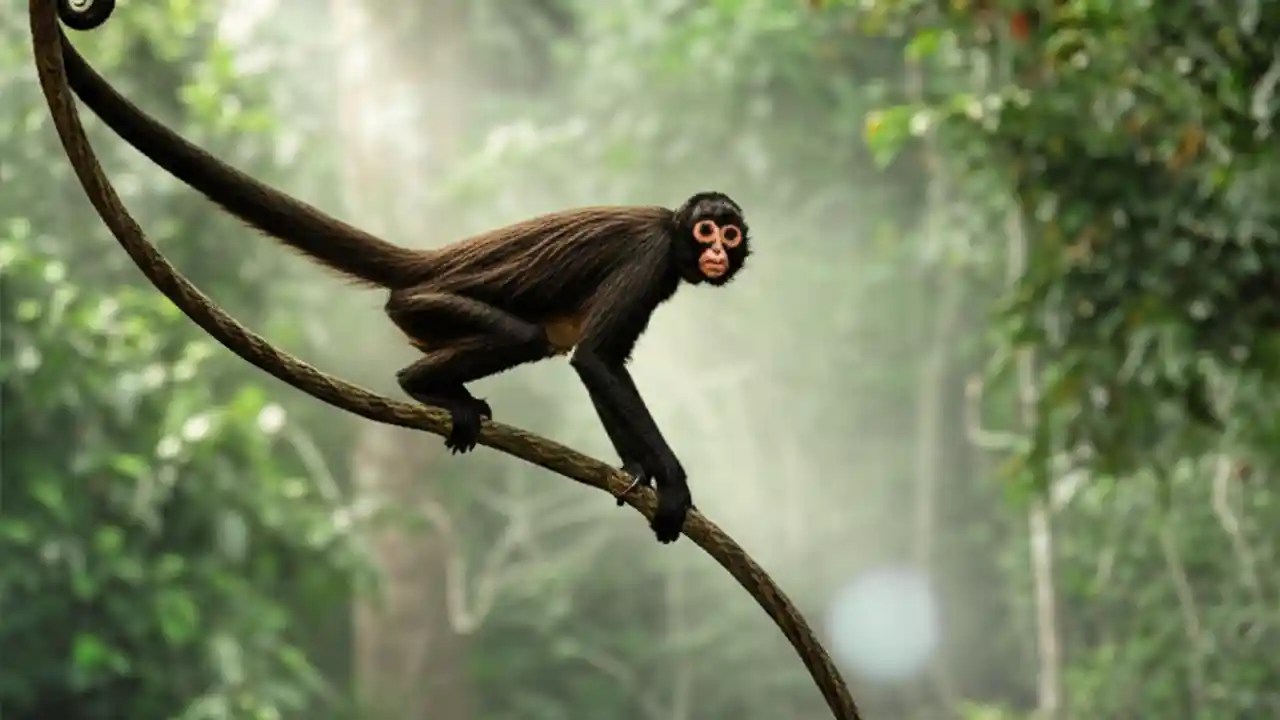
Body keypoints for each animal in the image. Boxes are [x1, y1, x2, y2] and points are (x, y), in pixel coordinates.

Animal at [55, 32, 750, 543]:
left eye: (731, 233)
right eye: (707, 230)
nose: (718, 250)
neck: (672, 230)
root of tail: (430, 262)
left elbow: (601, 363)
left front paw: (636, 472)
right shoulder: (651, 256)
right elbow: (598, 359)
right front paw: (674, 488)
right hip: (424, 305)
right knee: (518, 334)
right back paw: (424, 388)